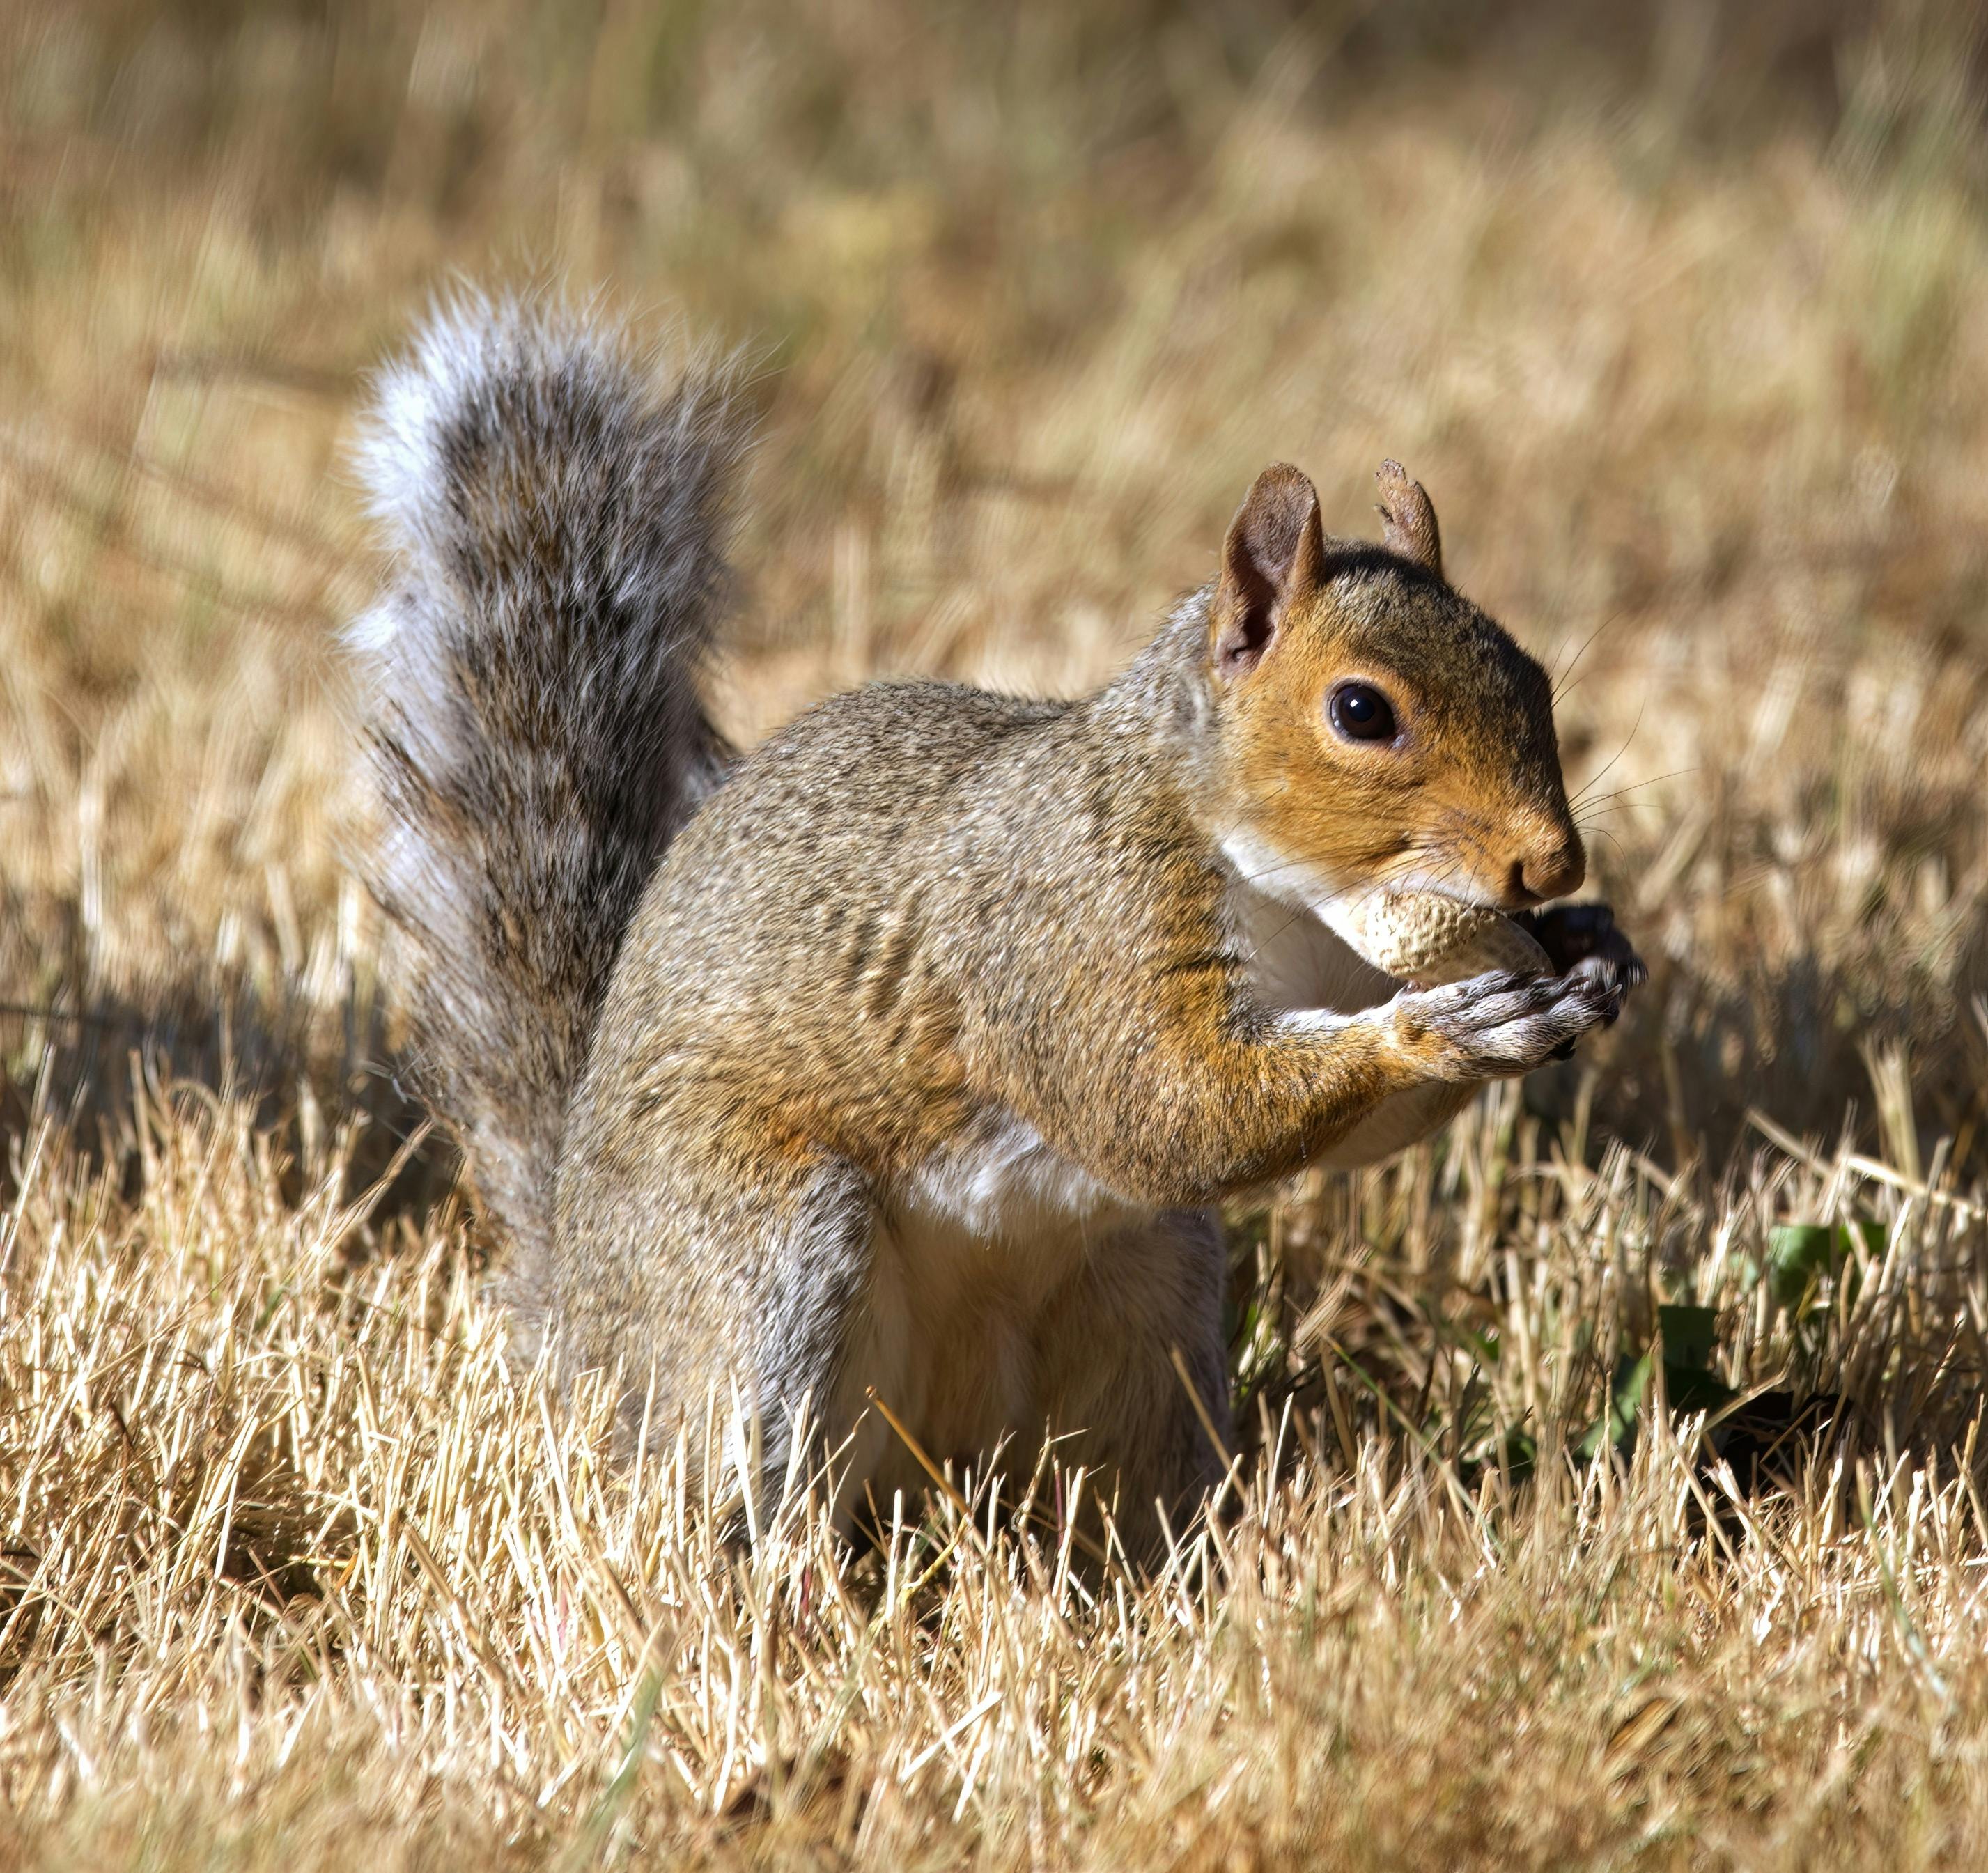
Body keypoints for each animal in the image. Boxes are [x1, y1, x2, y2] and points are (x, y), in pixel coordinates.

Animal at [348, 294, 1642, 1555]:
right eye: (1361, 710)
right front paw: (1433, 1028)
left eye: (1531, 671)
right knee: (742, 1471)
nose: (1550, 860)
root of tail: (577, 1314)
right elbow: (1159, 1108)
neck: (1296, 904)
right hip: (766, 1251)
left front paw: (1589, 954)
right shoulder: (1067, 927)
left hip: (1144, 1301)